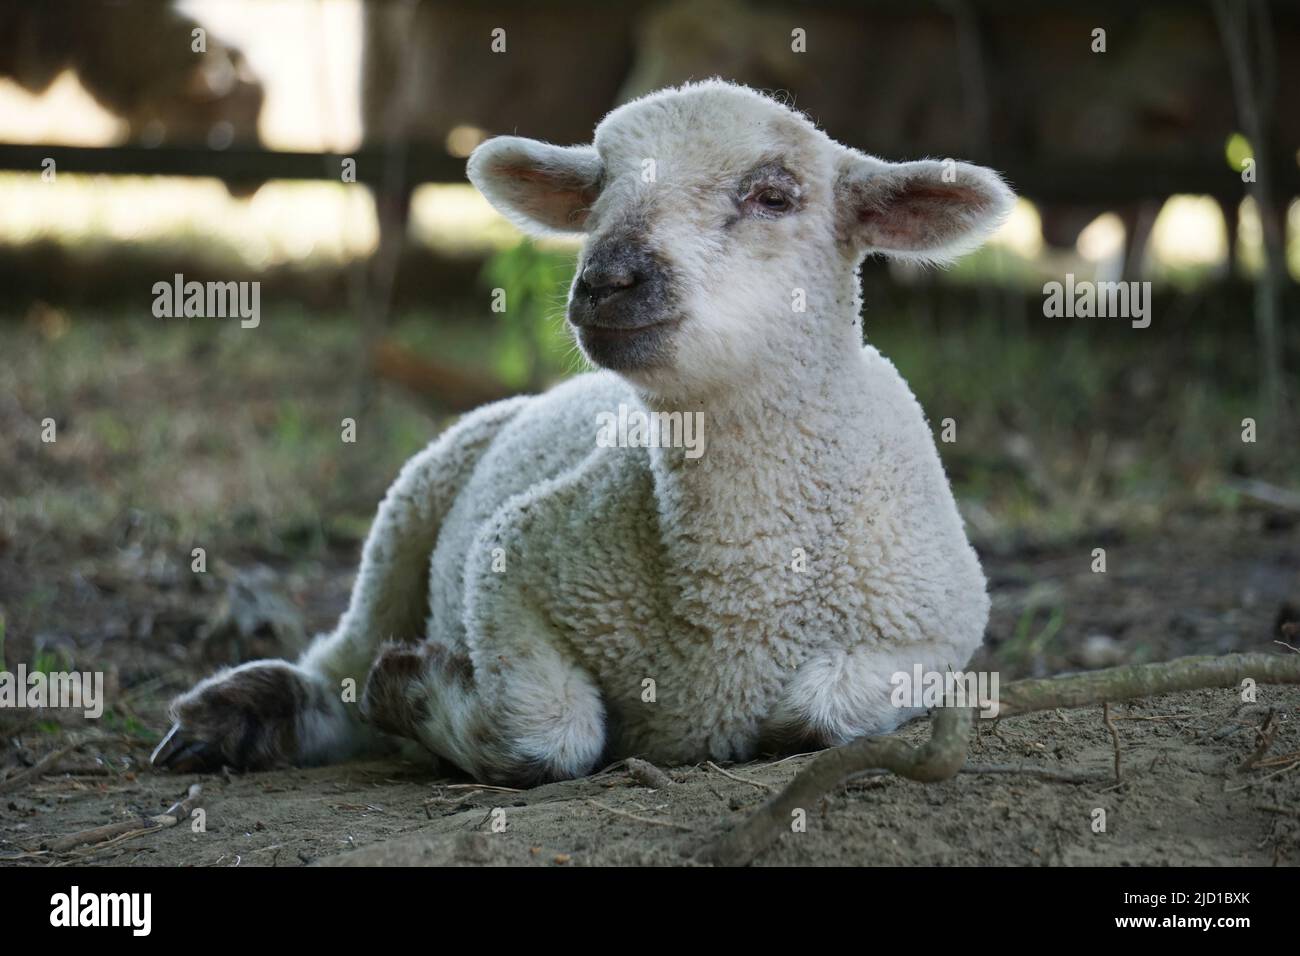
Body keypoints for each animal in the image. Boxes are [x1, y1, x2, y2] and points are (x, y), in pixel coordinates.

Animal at [152, 80, 1014, 786]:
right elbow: (549, 737)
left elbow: (815, 715)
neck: (735, 597)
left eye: (774, 194)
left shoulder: (935, 632)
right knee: (343, 652)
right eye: (598, 187)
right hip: (414, 504)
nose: (607, 278)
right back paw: (246, 714)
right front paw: (414, 689)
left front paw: (411, 692)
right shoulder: (514, 559)